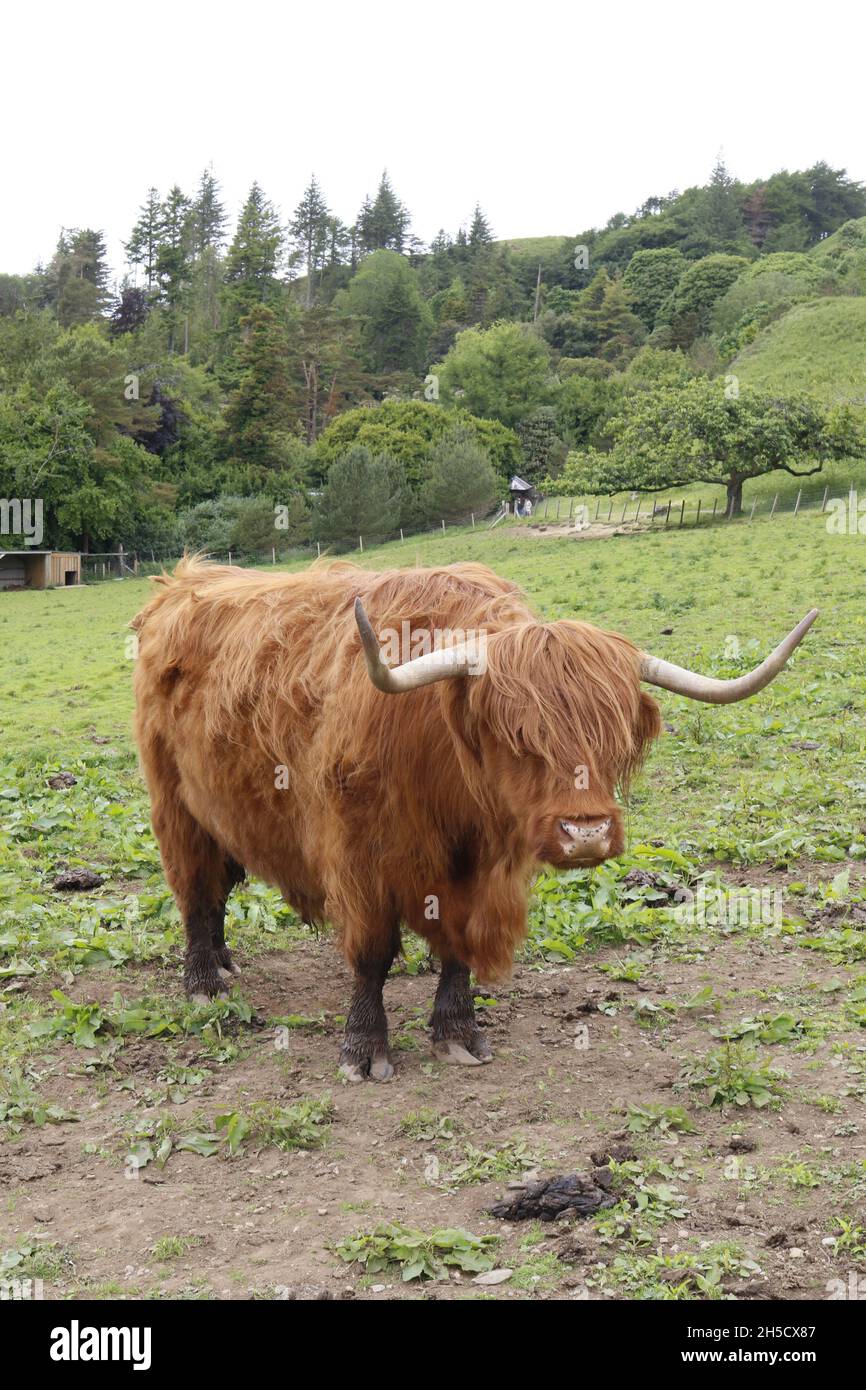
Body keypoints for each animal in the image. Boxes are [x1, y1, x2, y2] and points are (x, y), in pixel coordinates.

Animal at [132, 557, 816, 1081]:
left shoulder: (488, 872)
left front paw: (458, 1031)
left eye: (614, 737)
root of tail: (183, 580)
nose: (586, 833)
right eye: (517, 737)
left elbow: (458, 950)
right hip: (175, 806)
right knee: (196, 891)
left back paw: (224, 961)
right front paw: (364, 1050)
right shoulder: (358, 861)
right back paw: (205, 984)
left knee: (219, 888)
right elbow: (372, 955)